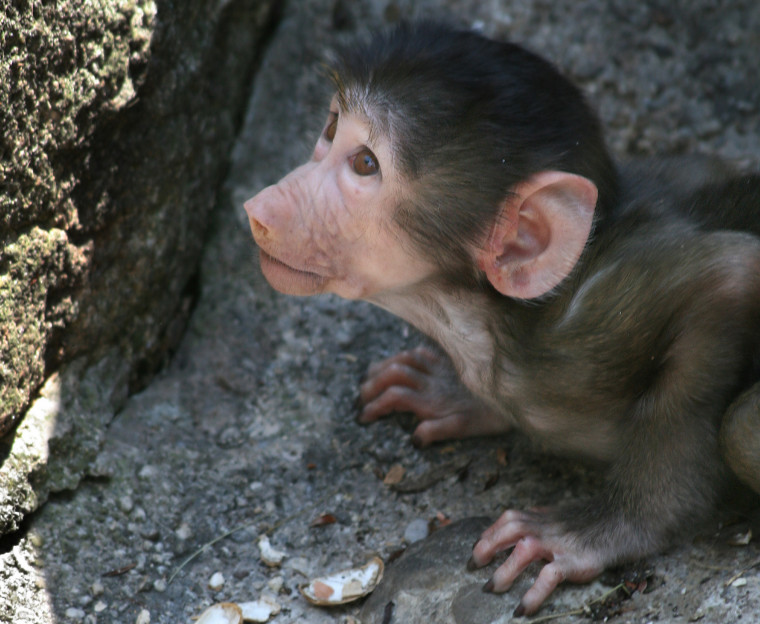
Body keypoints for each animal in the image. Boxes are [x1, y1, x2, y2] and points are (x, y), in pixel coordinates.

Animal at [243, 21, 760, 616]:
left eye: (365, 164)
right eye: (331, 130)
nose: (258, 208)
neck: (486, 315)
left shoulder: (584, 329)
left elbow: (731, 275)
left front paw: (603, 529)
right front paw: (453, 392)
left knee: (740, 428)